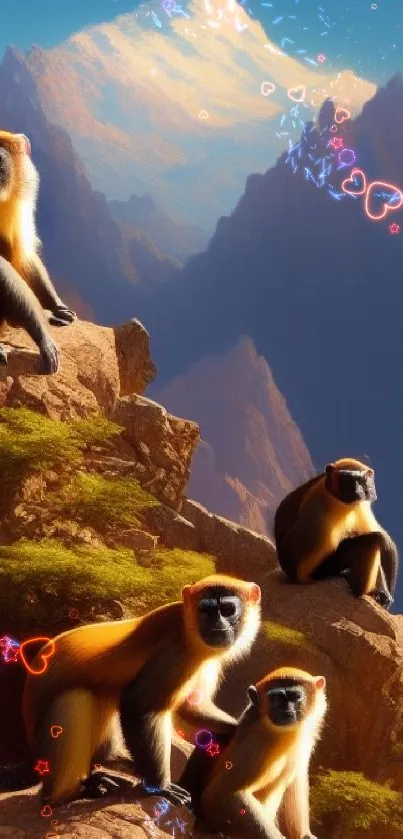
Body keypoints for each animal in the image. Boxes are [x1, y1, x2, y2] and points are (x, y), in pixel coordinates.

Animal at [0, 574, 261, 807]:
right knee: (77, 697)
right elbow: (138, 704)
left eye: (227, 609)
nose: (218, 625)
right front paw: (159, 786)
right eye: (206, 610)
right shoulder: (176, 651)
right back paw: (65, 795)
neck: (189, 631)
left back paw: (108, 762)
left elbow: (190, 707)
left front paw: (237, 726)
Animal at [179, 666, 327, 839]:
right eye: (276, 698)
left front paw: (305, 835)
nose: (286, 709)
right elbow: (220, 795)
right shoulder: (260, 740)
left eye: (295, 696)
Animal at [274, 458, 398, 610]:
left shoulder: (359, 504)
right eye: (346, 480)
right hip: (320, 571)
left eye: (361, 481)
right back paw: (359, 589)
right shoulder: (317, 506)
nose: (356, 490)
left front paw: (385, 592)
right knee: (371, 540)